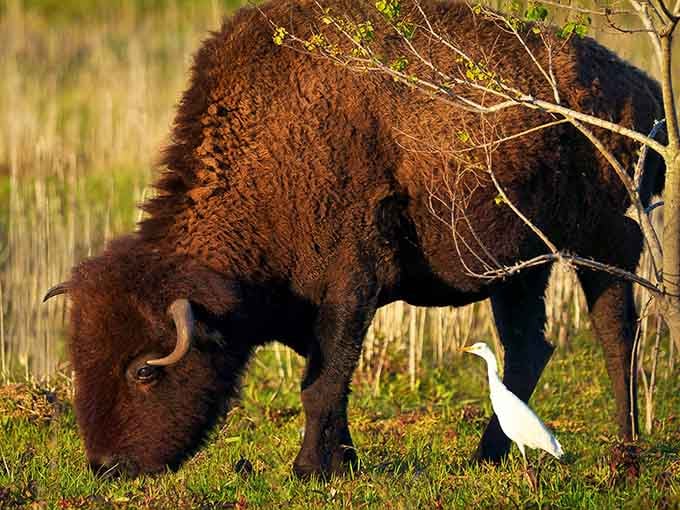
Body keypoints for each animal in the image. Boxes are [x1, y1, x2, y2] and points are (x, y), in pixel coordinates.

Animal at [45, 0, 665, 478]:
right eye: (81, 358)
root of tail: (643, 90)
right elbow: (330, 381)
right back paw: (484, 458)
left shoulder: (351, 286)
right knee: (527, 349)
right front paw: (342, 462)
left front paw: (310, 469)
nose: (107, 466)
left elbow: (322, 381)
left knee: (617, 337)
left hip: (607, 247)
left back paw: (623, 462)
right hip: (519, 269)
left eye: (145, 370)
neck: (271, 147)